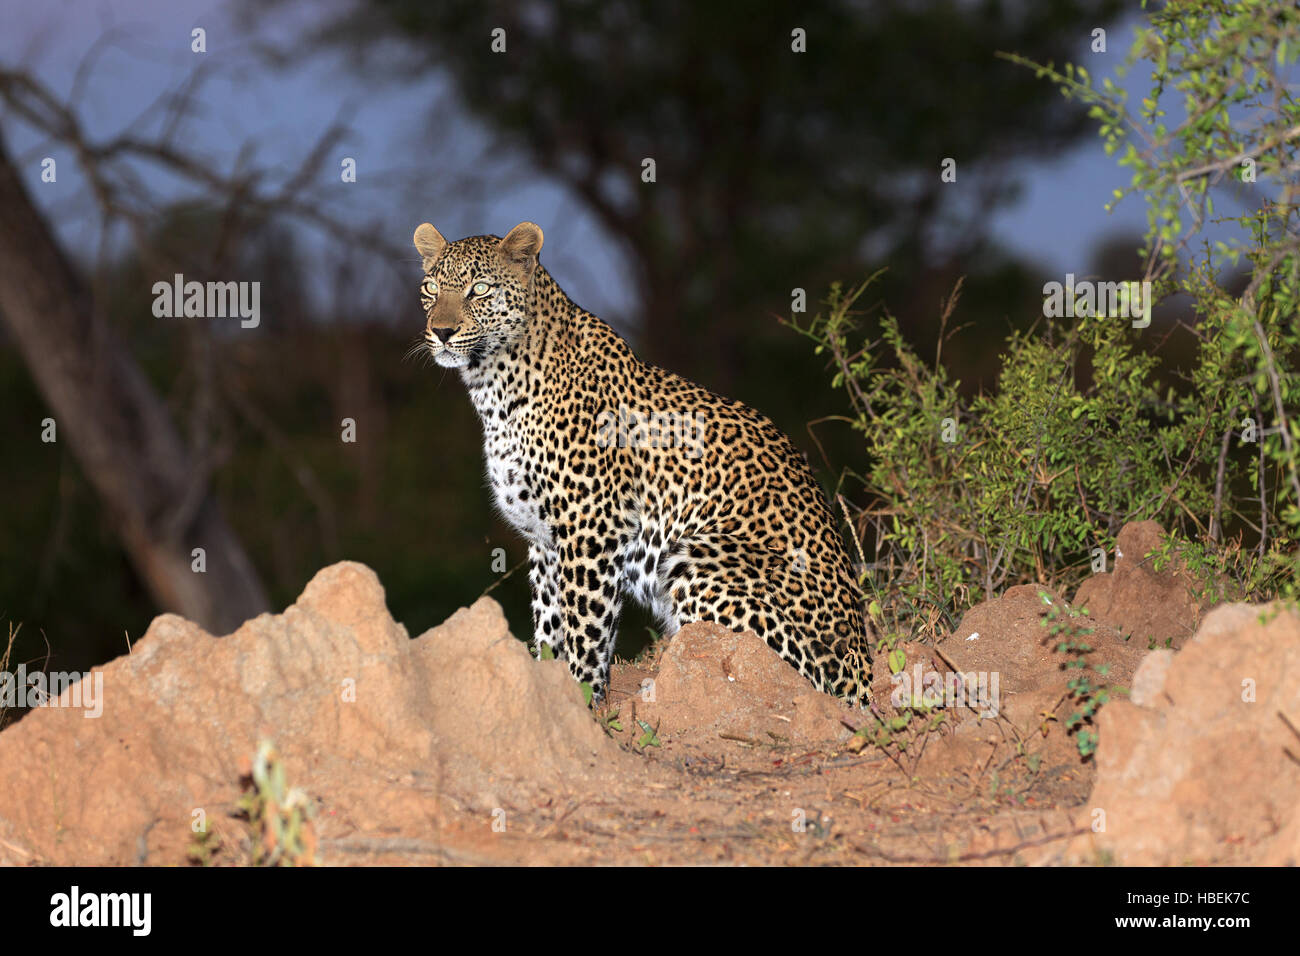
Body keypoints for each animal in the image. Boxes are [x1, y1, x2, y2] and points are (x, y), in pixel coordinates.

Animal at [413, 220, 873, 706]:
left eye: (479, 289)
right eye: (430, 288)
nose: (441, 331)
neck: (494, 386)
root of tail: (864, 669)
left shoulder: (592, 528)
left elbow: (585, 627)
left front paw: (586, 699)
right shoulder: (542, 539)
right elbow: (549, 624)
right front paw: (552, 693)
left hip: (698, 558)